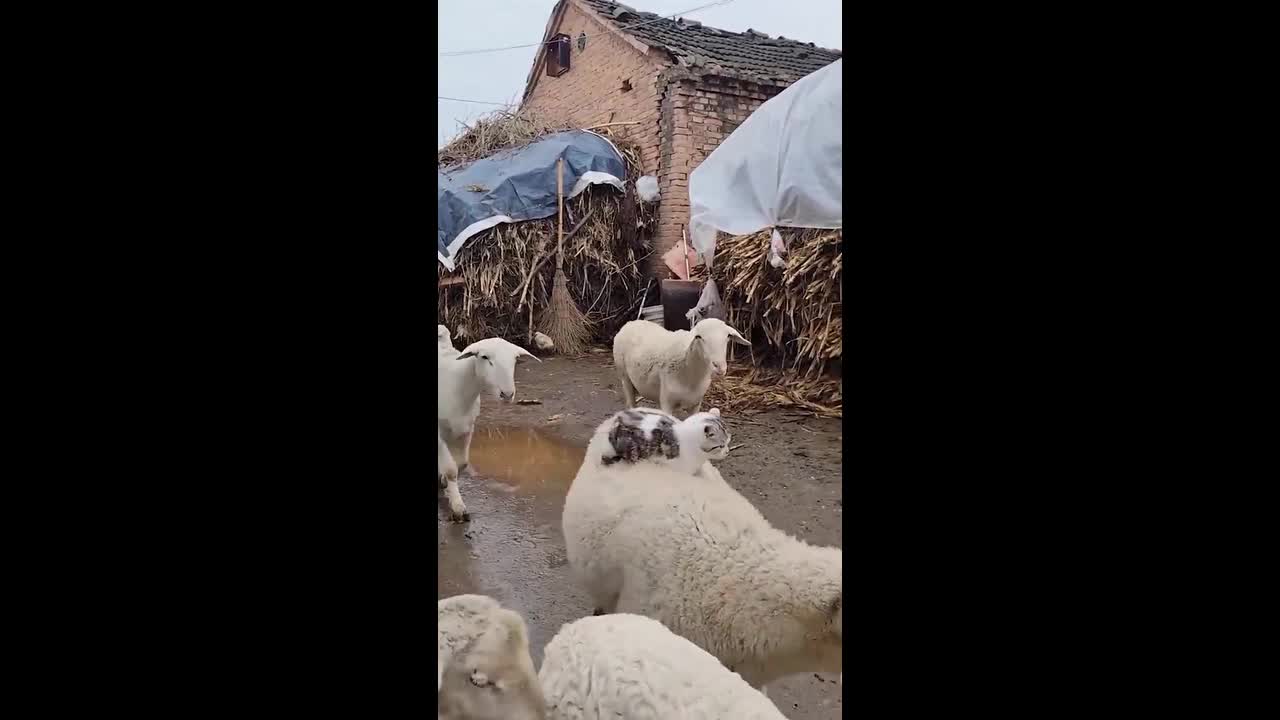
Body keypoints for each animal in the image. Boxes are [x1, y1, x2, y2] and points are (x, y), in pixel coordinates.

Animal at [438, 337, 538, 522]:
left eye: (515, 359)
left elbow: (461, 464)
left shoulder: (466, 429)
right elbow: (451, 470)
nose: (507, 394)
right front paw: (458, 509)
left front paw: (445, 486)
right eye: (485, 357)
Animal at [612, 317, 750, 417]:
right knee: (630, 403)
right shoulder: (667, 402)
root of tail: (630, 323)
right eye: (699, 337)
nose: (719, 366)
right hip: (624, 377)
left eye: (728, 336)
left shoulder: (695, 403)